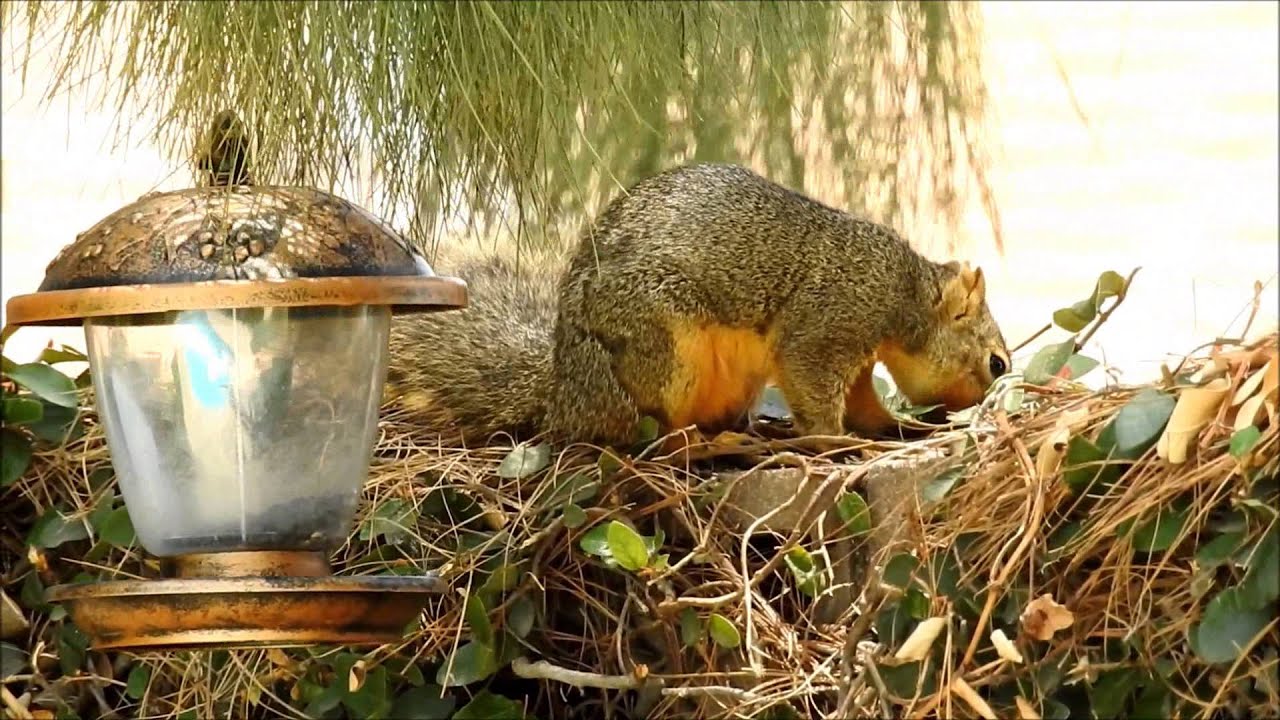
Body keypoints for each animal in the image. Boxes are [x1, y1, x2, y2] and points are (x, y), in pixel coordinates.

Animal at [386, 163, 1010, 447]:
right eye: (996, 362)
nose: (983, 405)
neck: (904, 294)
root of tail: (563, 395)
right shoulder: (828, 324)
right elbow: (814, 392)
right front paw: (836, 442)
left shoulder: (853, 357)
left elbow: (864, 404)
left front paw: (897, 428)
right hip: (662, 347)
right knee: (640, 430)